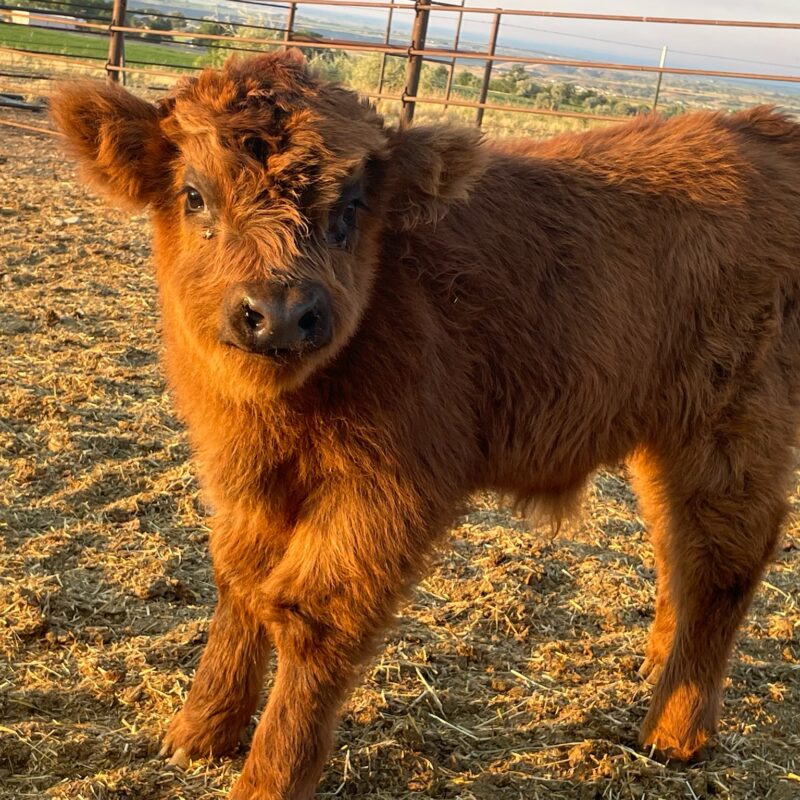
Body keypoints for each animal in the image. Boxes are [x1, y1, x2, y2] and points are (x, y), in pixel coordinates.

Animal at [51, 50, 800, 799]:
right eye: (194, 196)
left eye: (352, 206)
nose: (281, 313)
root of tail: (758, 130)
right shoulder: (247, 476)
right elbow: (240, 581)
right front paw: (200, 731)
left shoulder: (387, 492)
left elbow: (314, 615)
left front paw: (269, 777)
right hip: (663, 434)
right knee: (675, 542)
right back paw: (654, 664)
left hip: (734, 426)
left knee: (723, 560)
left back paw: (674, 733)